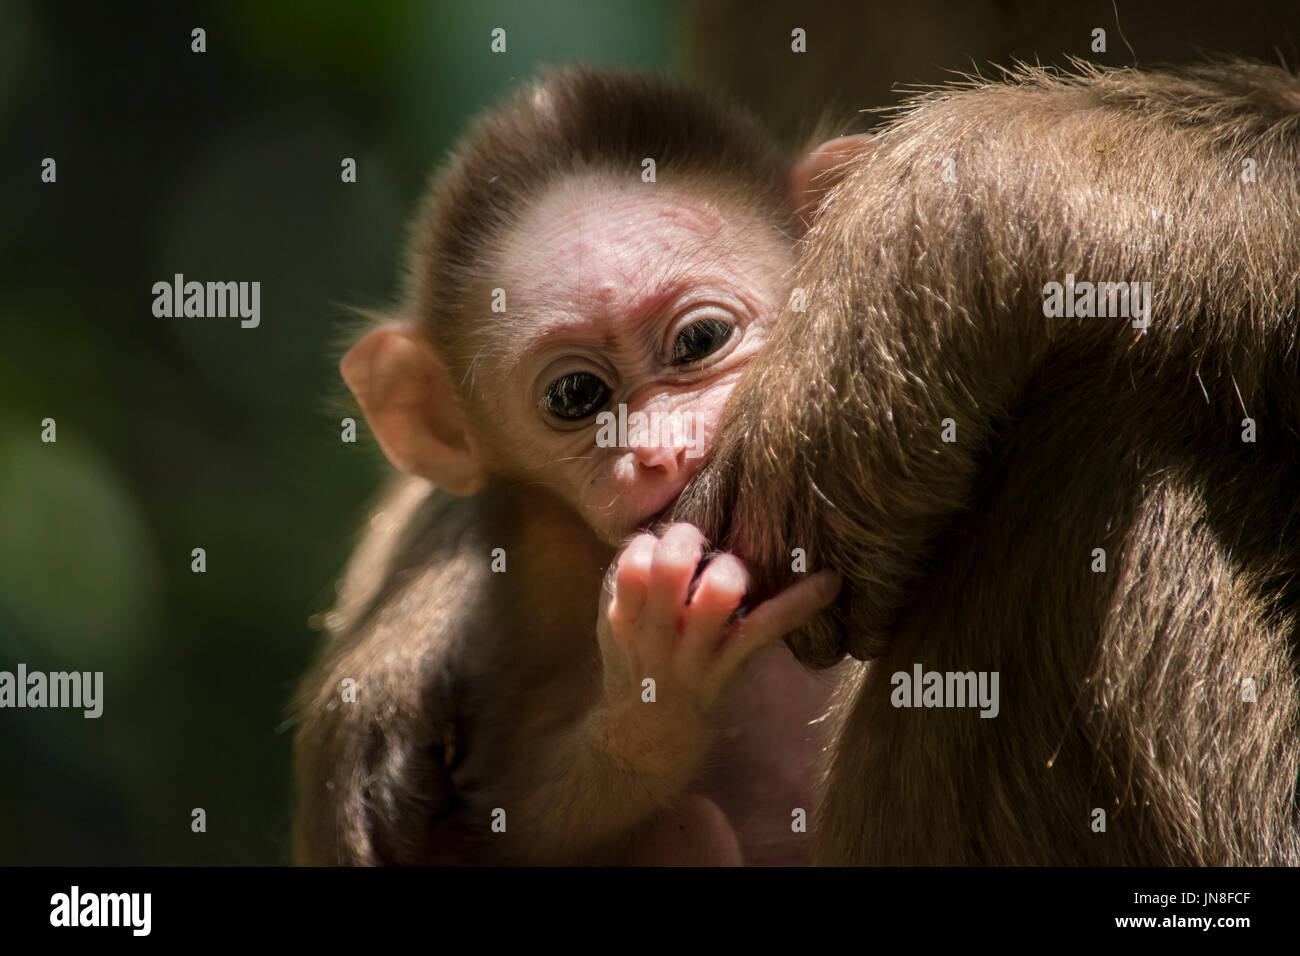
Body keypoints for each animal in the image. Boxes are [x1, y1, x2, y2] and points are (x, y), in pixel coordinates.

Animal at [292, 66, 858, 865]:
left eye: (700, 340)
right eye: (576, 395)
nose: (660, 447)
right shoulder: (536, 559)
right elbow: (504, 817)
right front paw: (657, 685)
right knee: (688, 825)